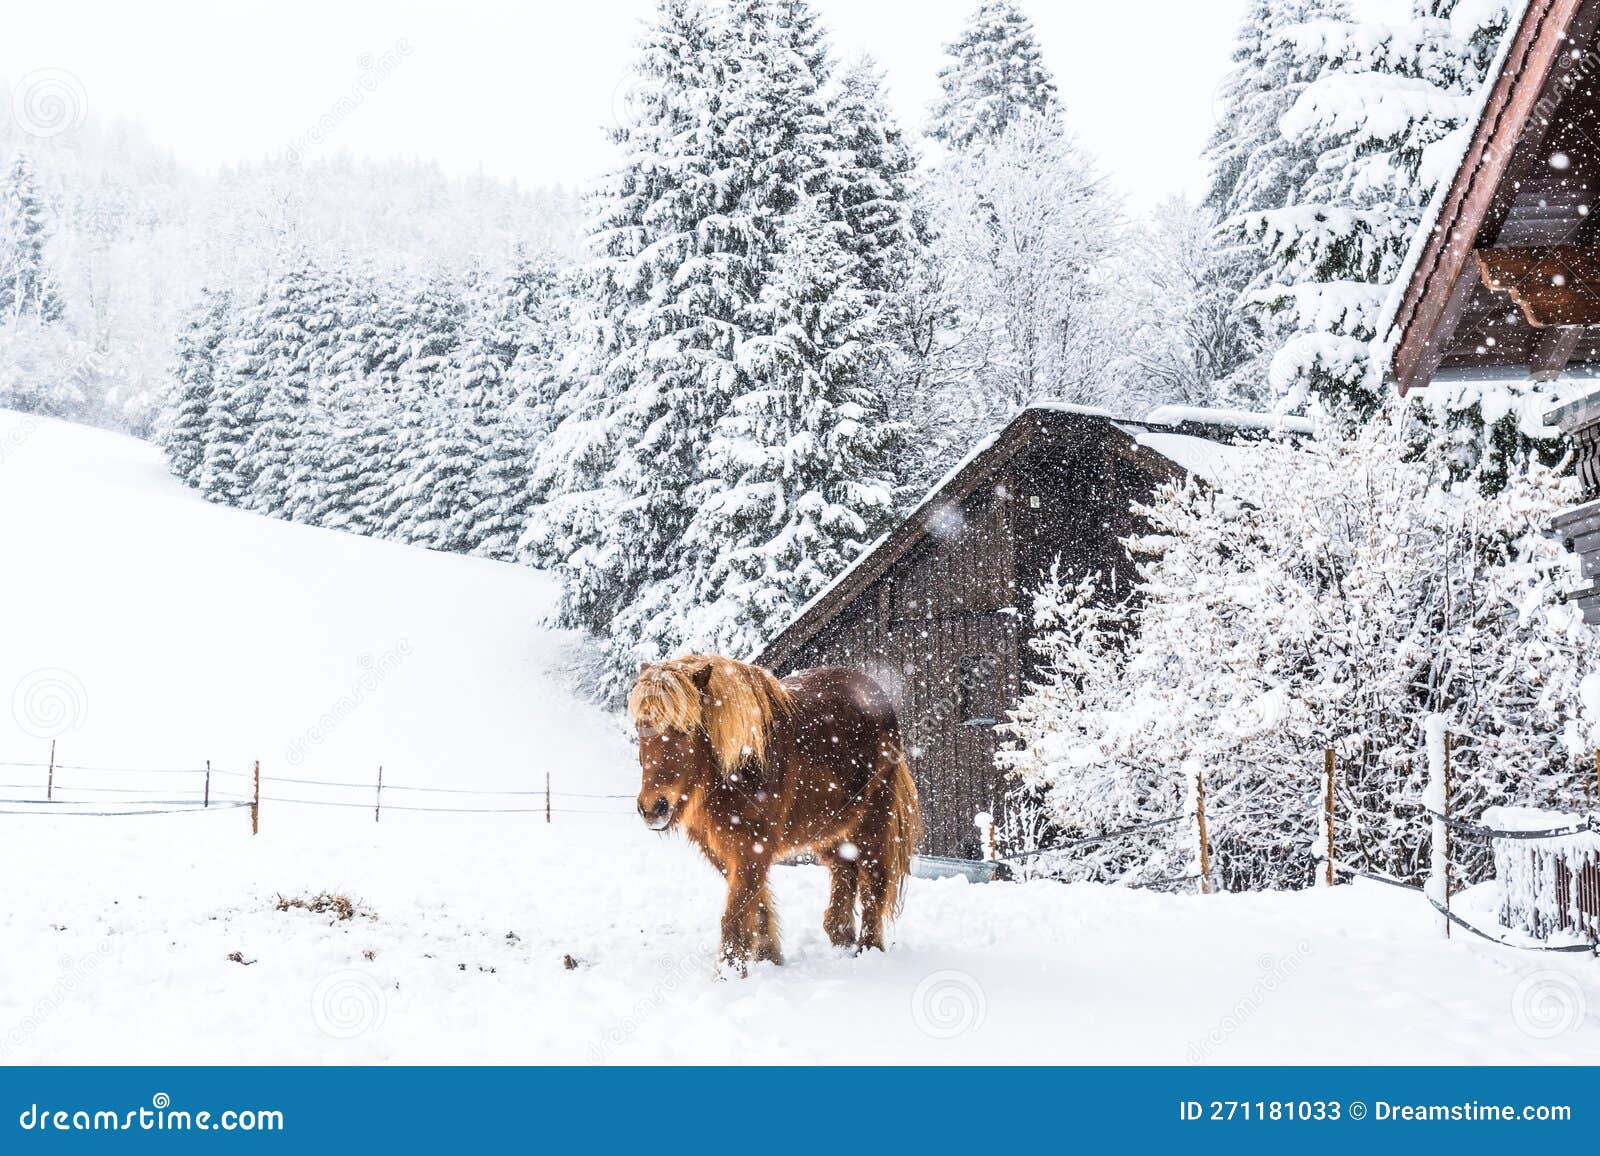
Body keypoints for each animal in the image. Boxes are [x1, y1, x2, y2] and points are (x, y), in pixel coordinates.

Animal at [627, 653, 922, 974]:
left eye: (685, 729)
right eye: (640, 728)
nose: (652, 808)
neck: (740, 767)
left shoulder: (751, 849)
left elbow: (736, 913)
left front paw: (730, 974)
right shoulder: (723, 852)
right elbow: (757, 906)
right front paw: (769, 959)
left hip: (872, 823)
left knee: (874, 880)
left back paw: (868, 949)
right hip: (829, 829)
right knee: (845, 870)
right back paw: (841, 939)